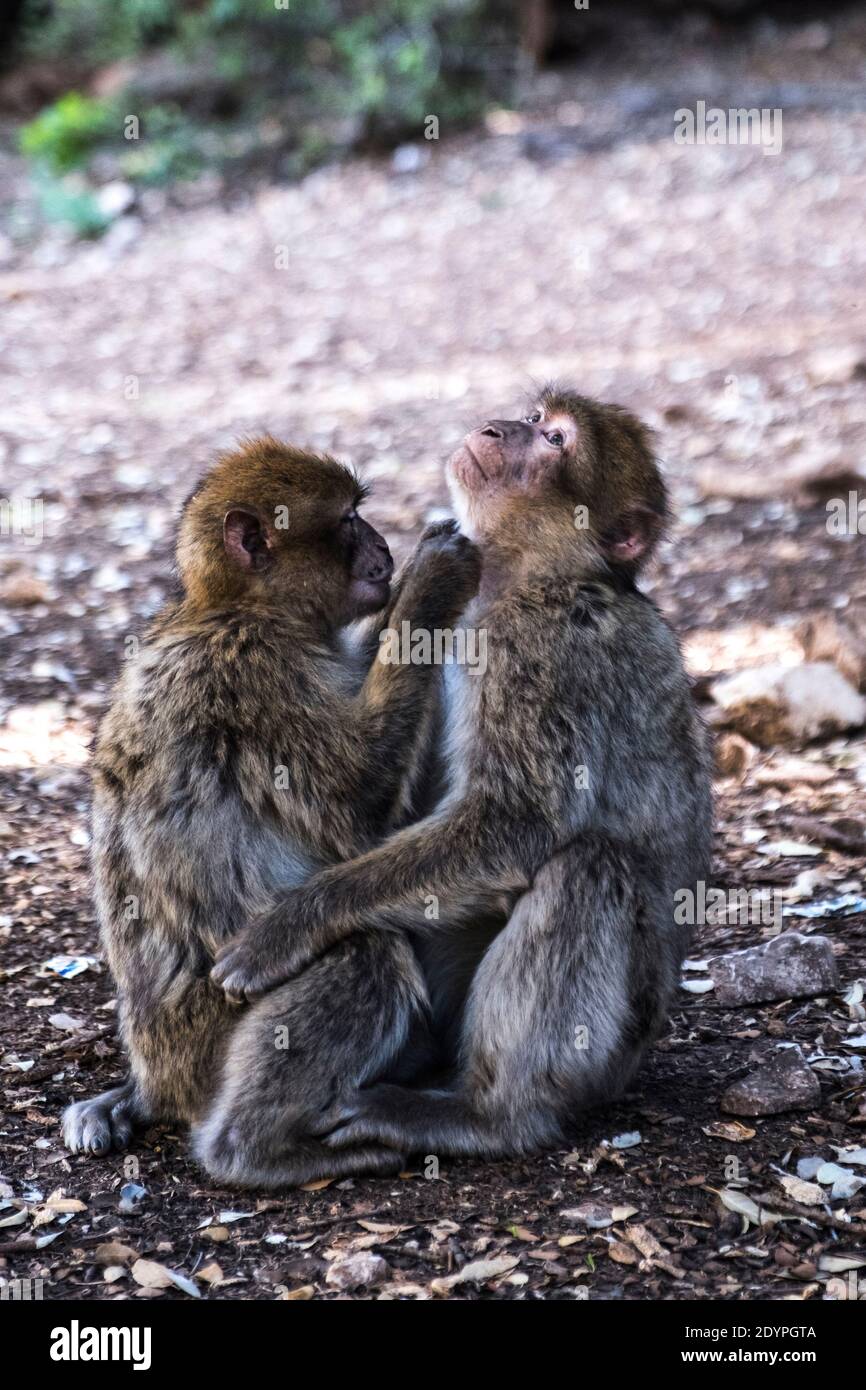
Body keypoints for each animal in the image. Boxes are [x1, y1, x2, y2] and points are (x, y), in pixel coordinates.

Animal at [63, 436, 481, 1185]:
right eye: (347, 520)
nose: (381, 547)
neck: (248, 609)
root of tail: (158, 1079)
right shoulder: (254, 674)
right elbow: (357, 805)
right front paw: (431, 581)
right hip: (205, 1041)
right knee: (366, 954)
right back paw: (254, 1152)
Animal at [209, 388, 714, 1161]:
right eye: (533, 416)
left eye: (555, 440)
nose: (497, 427)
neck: (530, 574)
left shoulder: (541, 650)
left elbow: (516, 824)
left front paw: (291, 925)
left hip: (616, 1051)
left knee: (588, 867)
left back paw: (492, 1115)